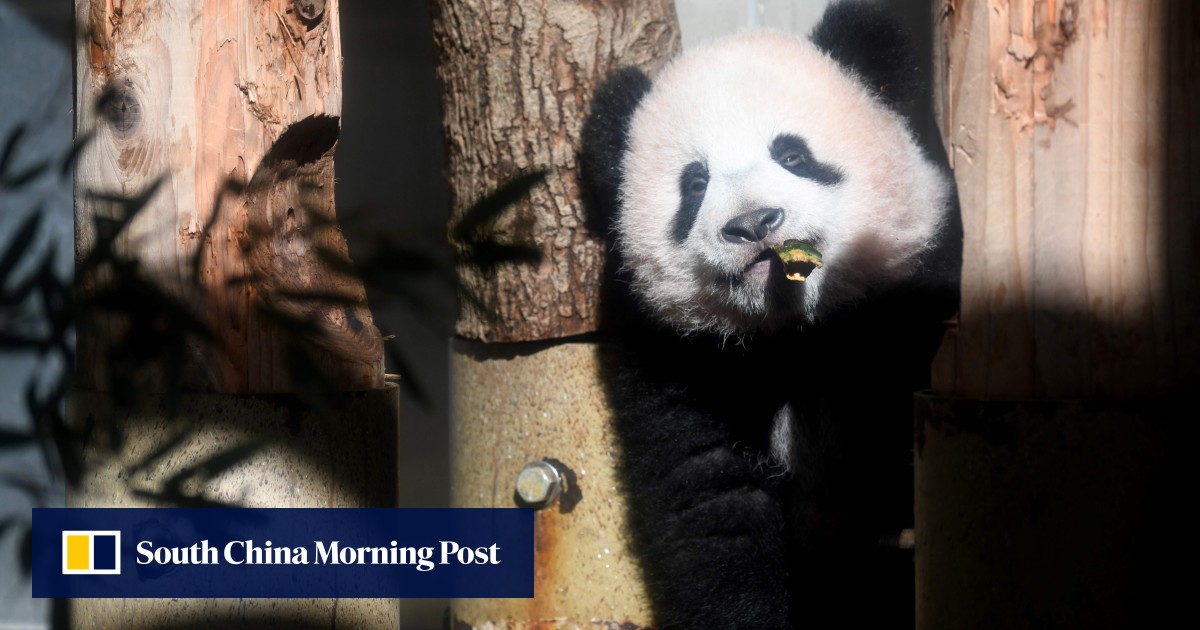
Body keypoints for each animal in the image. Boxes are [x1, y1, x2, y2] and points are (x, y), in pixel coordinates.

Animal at [580, 2, 961, 628]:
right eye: (695, 183)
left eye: (793, 155)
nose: (754, 223)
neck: (790, 331)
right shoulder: (679, 355)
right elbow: (712, 501)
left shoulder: (911, 294)